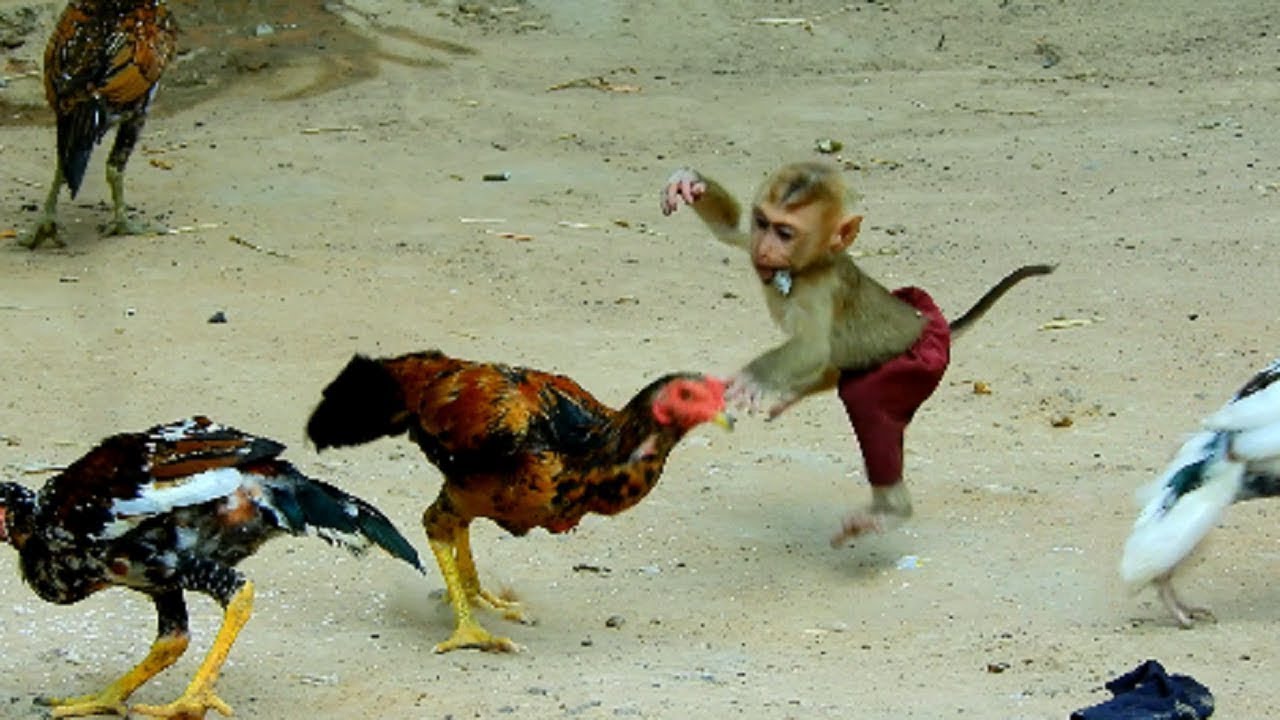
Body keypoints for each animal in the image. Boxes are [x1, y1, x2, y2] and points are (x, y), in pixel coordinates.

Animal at [660, 161, 1053, 546]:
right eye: (762, 222)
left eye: (785, 233)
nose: (765, 249)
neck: (801, 271)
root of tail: (929, 321)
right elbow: (729, 232)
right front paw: (690, 184)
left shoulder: (819, 290)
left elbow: (813, 346)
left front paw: (753, 377)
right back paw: (802, 391)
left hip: (918, 362)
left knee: (866, 399)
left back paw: (890, 507)